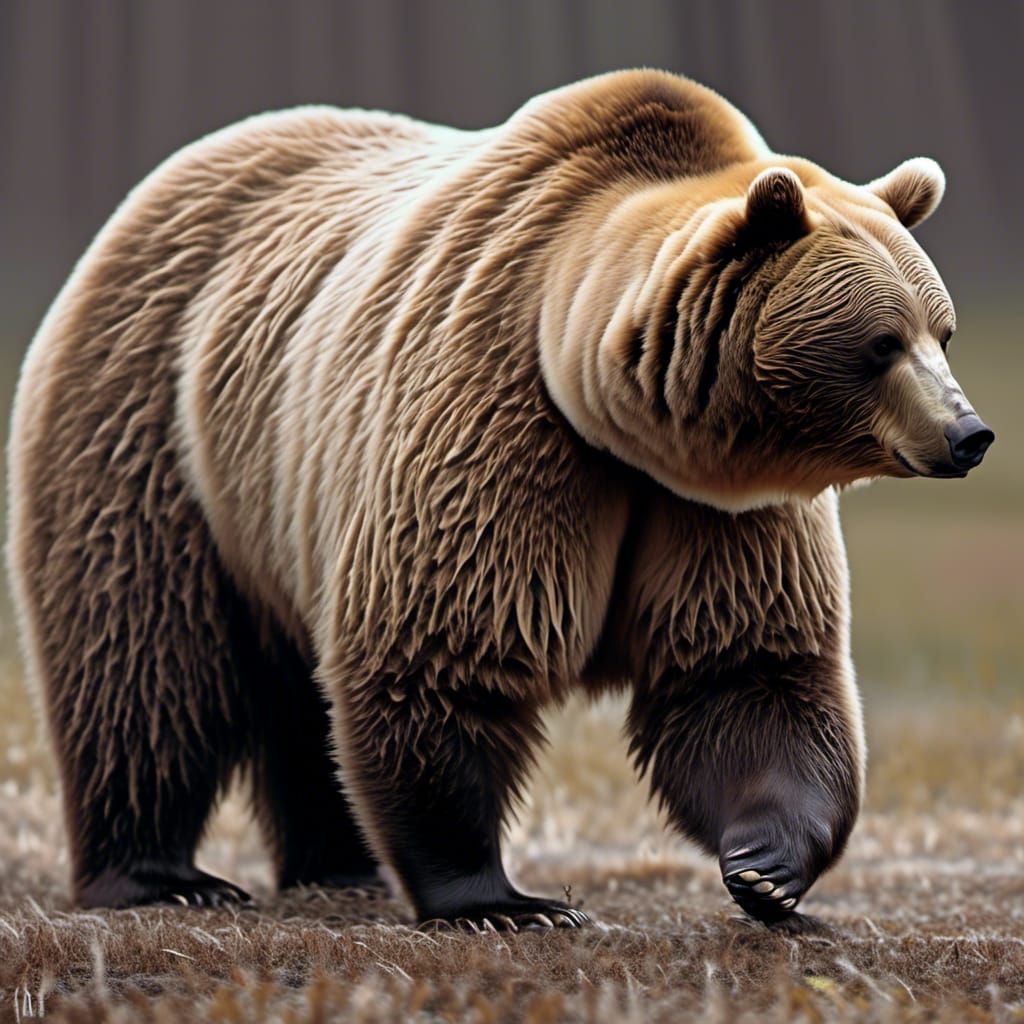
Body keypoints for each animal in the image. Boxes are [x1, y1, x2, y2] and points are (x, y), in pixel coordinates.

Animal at [7, 69, 993, 930]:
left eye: (940, 330)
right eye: (879, 342)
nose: (969, 434)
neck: (611, 407)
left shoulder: (716, 507)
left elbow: (746, 668)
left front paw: (766, 870)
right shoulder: (499, 423)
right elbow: (445, 650)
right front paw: (503, 899)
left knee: (298, 699)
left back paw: (340, 864)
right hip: (153, 426)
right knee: (145, 662)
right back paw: (165, 878)